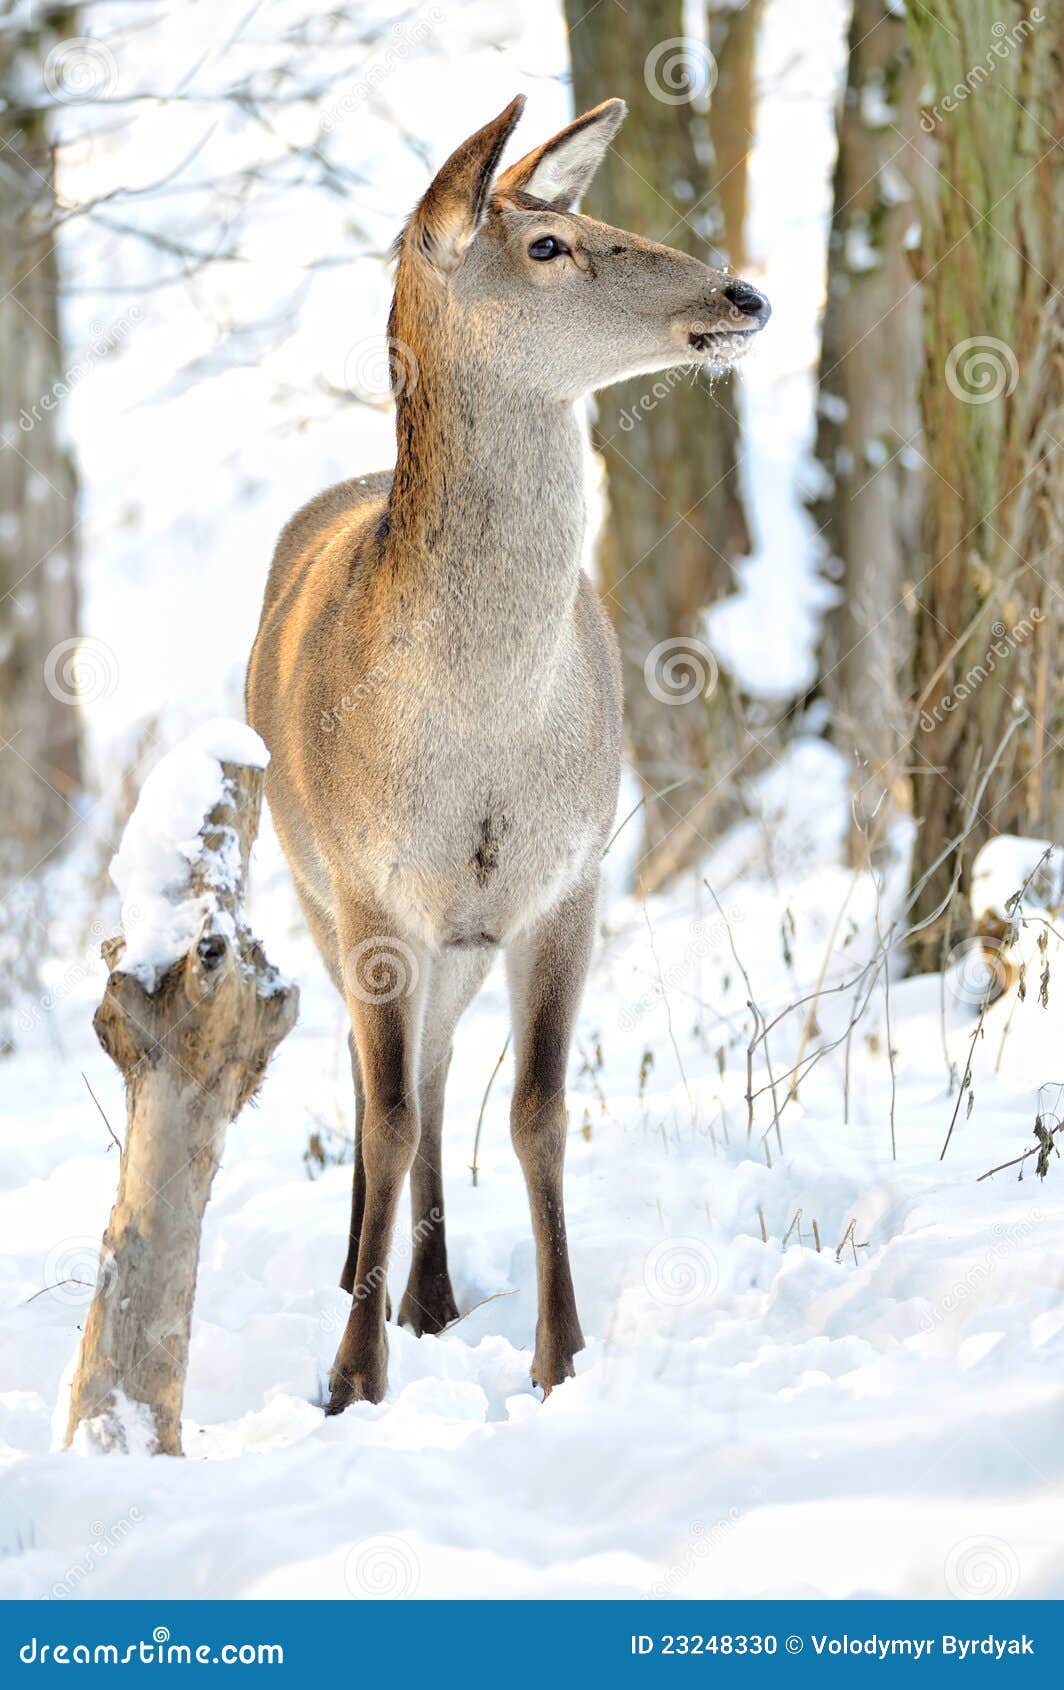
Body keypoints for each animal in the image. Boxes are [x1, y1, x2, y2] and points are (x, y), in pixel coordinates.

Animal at [246, 94, 770, 1414]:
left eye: (583, 213)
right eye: (546, 244)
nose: (741, 295)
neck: (481, 733)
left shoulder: (570, 877)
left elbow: (535, 1109)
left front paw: (558, 1354)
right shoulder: (370, 884)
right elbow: (382, 1112)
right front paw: (350, 1377)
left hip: (462, 934)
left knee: (435, 1075)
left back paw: (429, 1292)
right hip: (312, 883)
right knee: (378, 1077)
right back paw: (364, 1276)